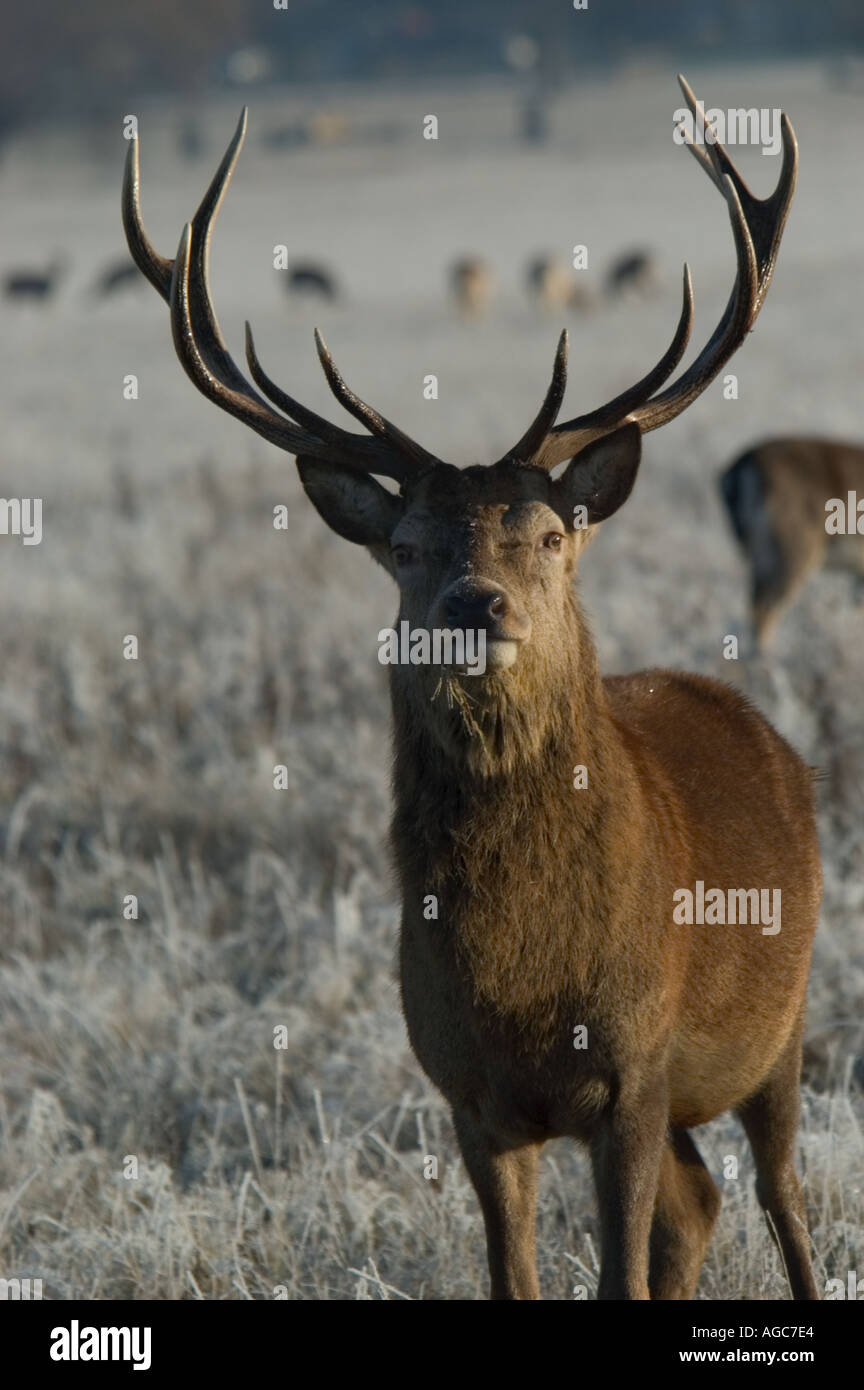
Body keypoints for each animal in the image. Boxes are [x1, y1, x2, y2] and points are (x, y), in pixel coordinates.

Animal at [122, 75, 821, 1301]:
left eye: (547, 533)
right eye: (404, 546)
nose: (473, 604)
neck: (523, 981)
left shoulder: (635, 1070)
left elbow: (620, 1274)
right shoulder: (467, 1096)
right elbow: (518, 1279)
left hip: (781, 1026)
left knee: (785, 1199)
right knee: (701, 1202)